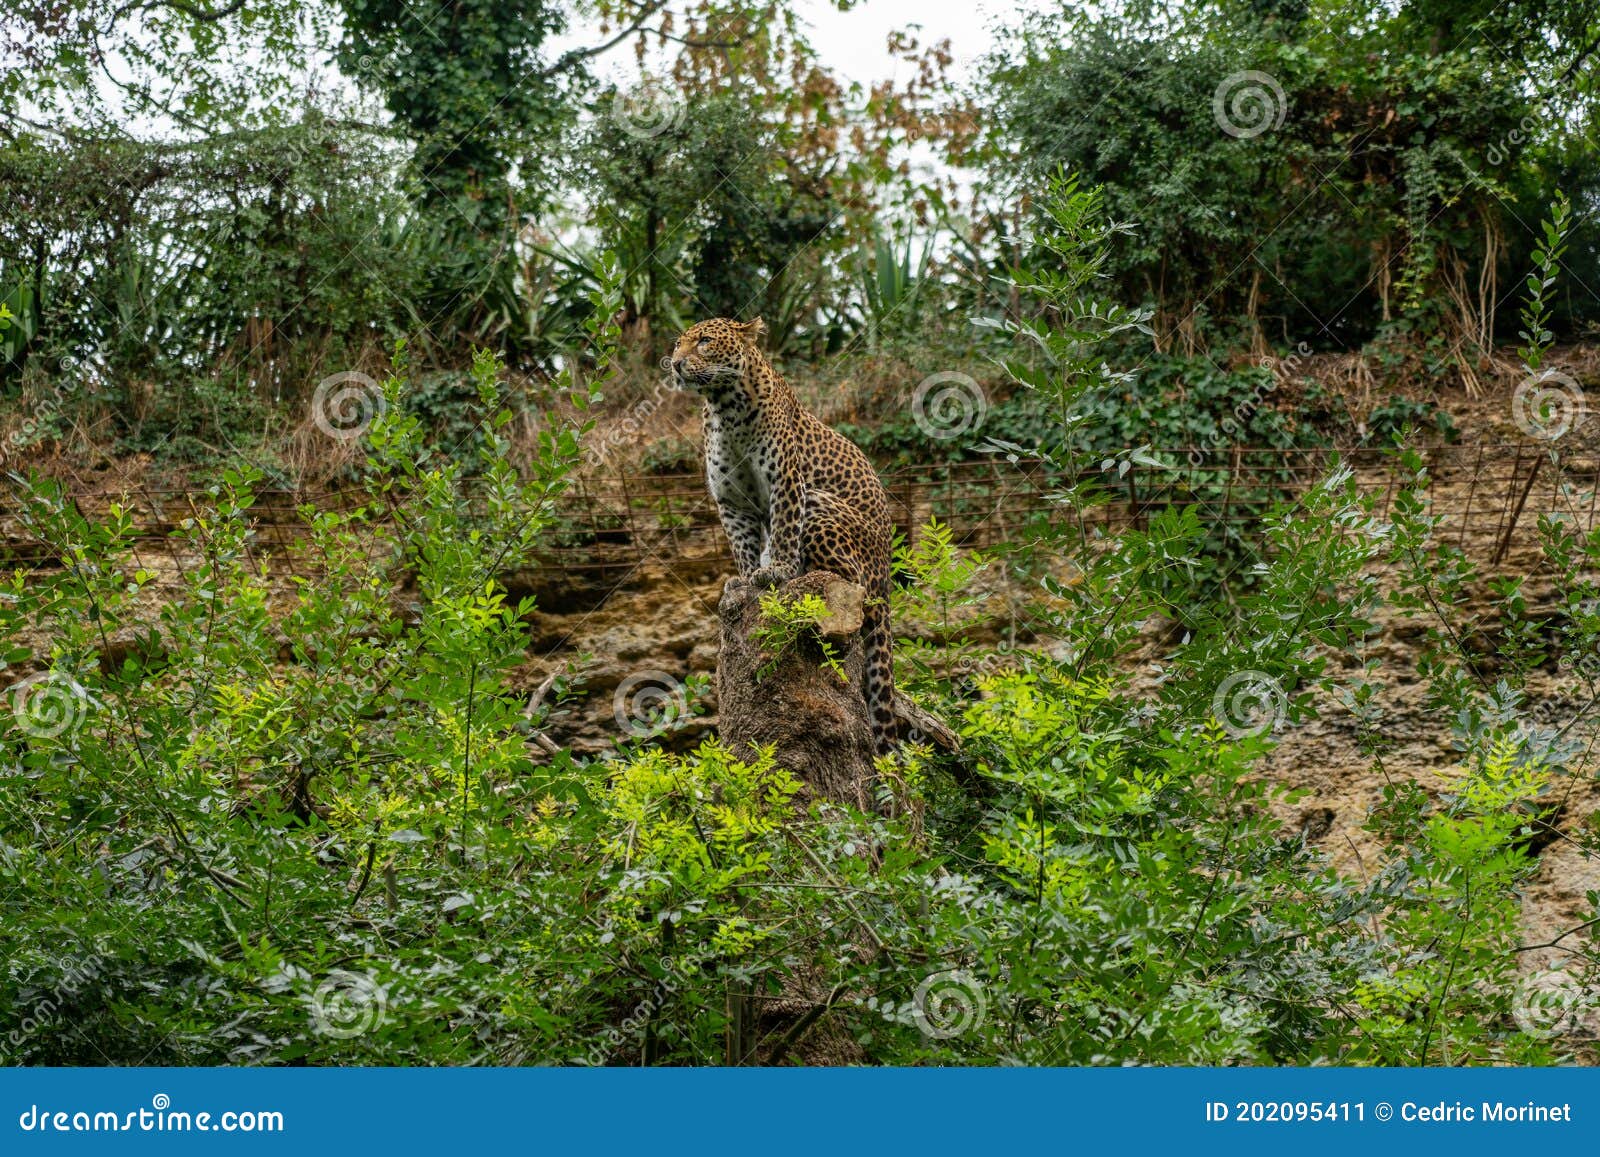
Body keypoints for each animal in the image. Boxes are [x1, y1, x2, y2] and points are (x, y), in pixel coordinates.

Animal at [669, 316, 899, 755]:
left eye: (704, 341)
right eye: (678, 343)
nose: (674, 363)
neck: (726, 407)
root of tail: (887, 578)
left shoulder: (787, 482)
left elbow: (784, 528)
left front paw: (778, 570)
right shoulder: (732, 498)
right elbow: (743, 543)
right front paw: (744, 578)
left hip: (823, 507)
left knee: (852, 582)